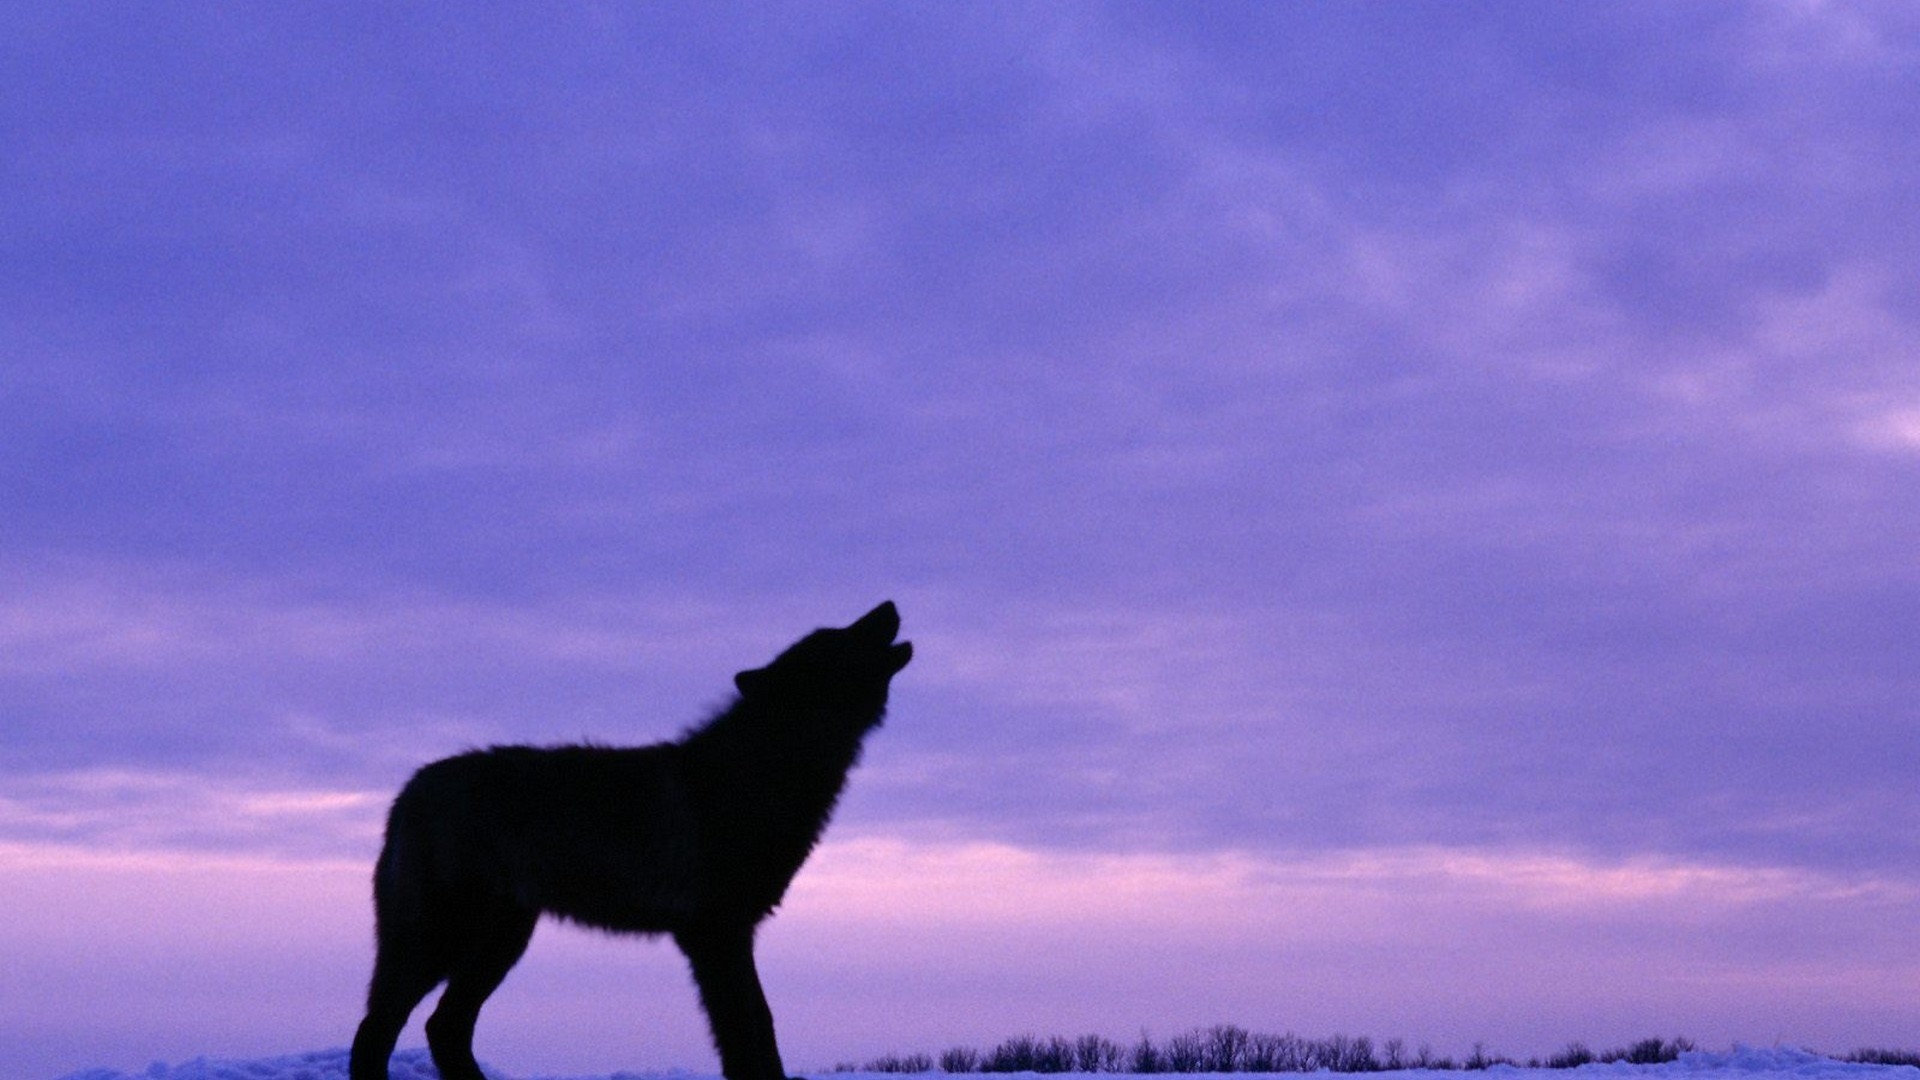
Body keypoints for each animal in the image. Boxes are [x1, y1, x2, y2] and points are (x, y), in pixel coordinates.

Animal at [348, 601, 913, 1080]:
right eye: (840, 636)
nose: (888, 605)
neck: (764, 773)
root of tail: (409, 788)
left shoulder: (736, 934)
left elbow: (764, 1026)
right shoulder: (715, 936)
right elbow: (744, 1035)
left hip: (501, 944)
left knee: (443, 1028)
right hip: (443, 942)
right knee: (376, 1031)